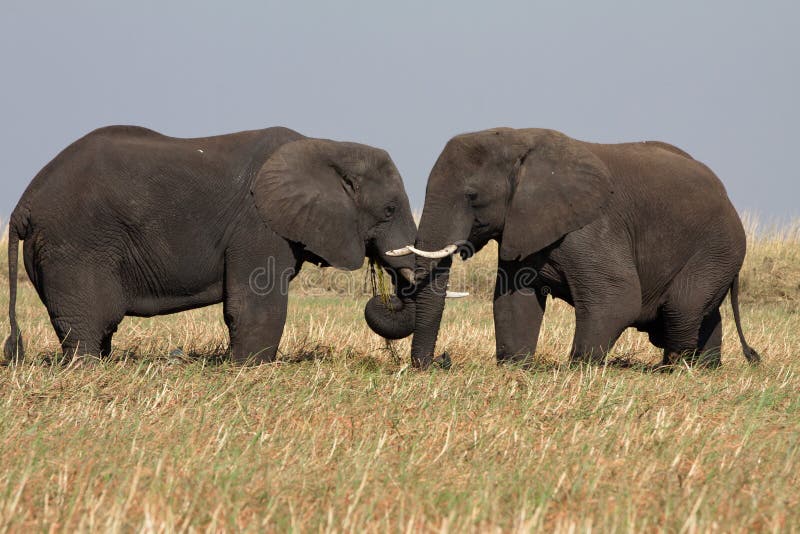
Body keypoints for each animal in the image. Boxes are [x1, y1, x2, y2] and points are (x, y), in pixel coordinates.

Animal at [4, 125, 417, 364]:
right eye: (389, 210)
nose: (388, 296)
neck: (327, 147)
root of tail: (24, 202)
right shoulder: (257, 224)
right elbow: (255, 303)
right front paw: (252, 370)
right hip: (74, 245)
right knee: (88, 323)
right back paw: (89, 369)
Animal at [388, 127, 761, 369]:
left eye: (472, 195)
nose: (441, 360)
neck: (517, 140)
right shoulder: (523, 225)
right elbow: (513, 300)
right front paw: (516, 365)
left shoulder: (591, 227)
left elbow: (617, 297)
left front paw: (577, 368)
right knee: (703, 314)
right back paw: (706, 367)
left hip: (719, 246)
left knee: (681, 307)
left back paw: (672, 368)